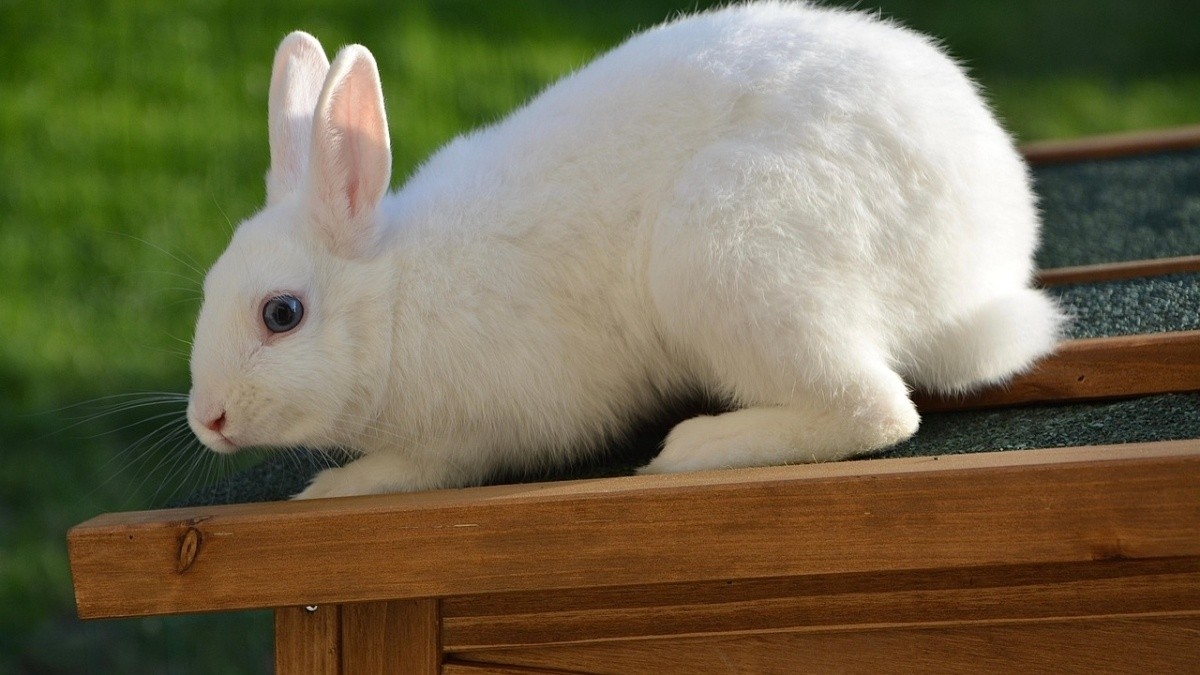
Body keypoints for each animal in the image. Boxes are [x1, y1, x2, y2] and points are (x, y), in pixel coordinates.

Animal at [186, 2, 1064, 500]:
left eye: (282, 313)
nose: (209, 419)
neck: (398, 295)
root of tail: (975, 280)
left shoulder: (476, 433)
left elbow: (416, 471)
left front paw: (331, 487)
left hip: (728, 256)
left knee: (876, 409)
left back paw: (695, 450)